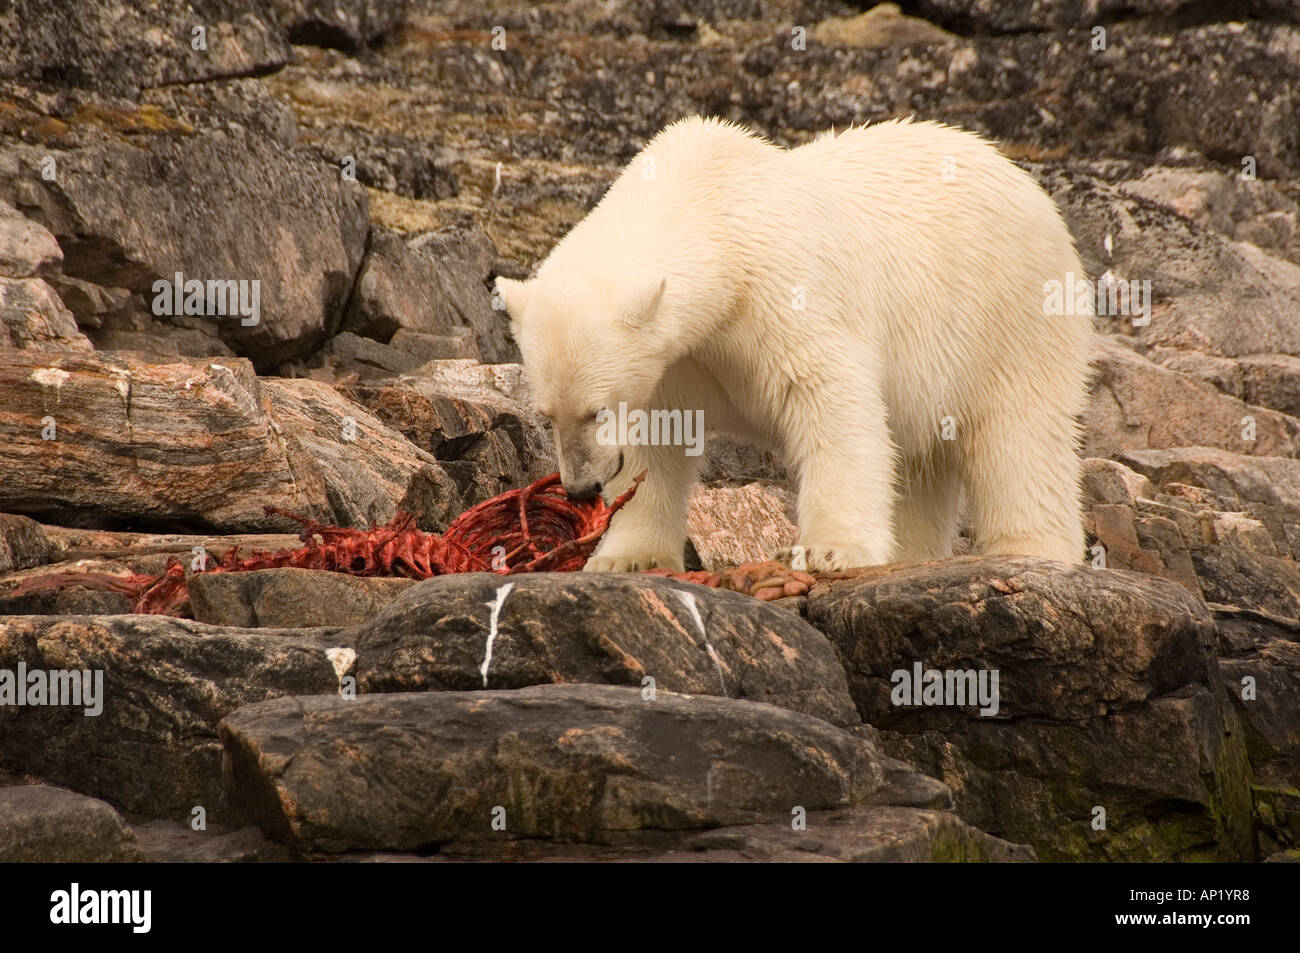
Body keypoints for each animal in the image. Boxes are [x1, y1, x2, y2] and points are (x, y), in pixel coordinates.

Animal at [495, 115, 1095, 572]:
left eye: (597, 410)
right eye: (546, 414)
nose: (581, 488)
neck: (715, 209)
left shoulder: (784, 293)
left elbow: (830, 399)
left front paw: (832, 550)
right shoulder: (681, 356)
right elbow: (662, 436)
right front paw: (627, 556)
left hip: (1010, 317)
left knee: (1020, 436)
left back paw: (1032, 550)